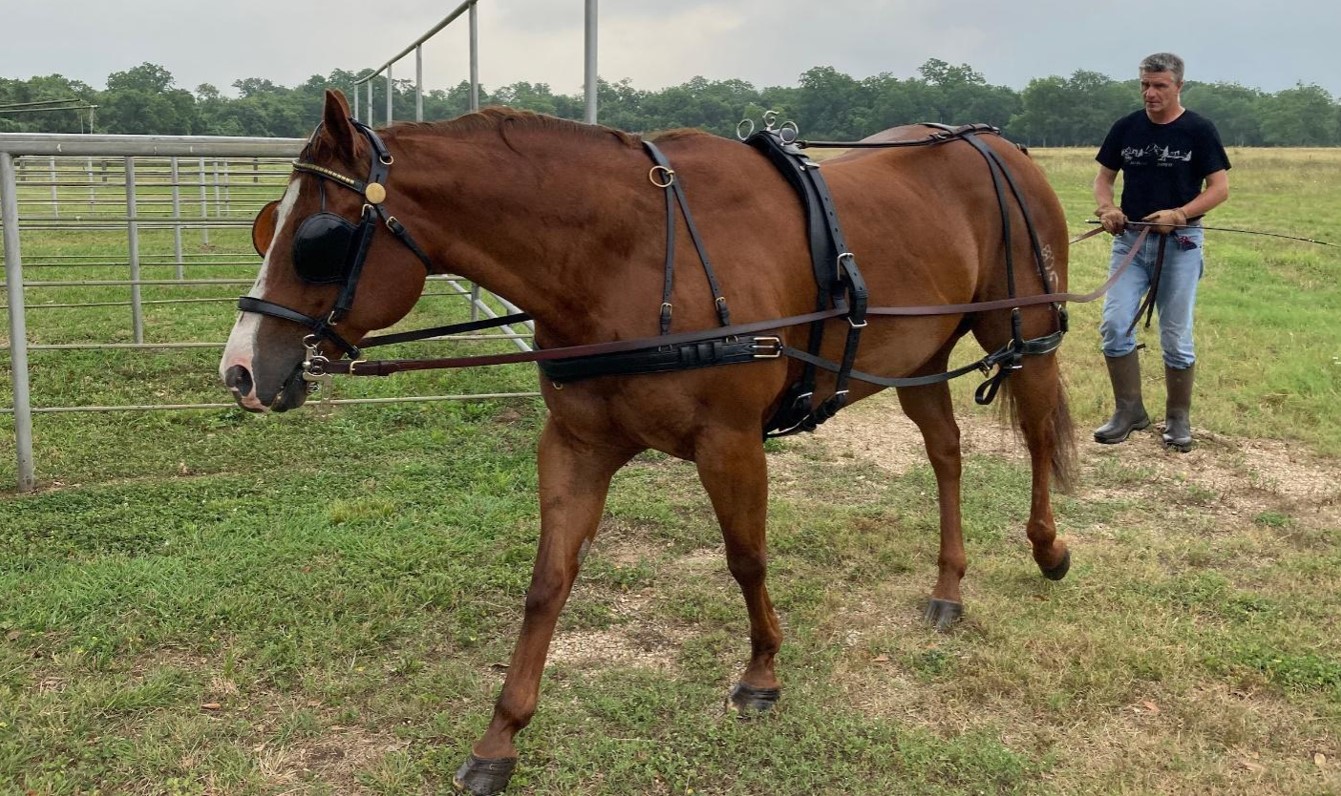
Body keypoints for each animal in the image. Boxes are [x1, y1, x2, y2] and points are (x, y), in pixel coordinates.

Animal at [220, 89, 1076, 795]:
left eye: (318, 239)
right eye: (271, 227)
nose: (241, 370)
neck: (621, 257)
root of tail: (995, 146)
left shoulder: (731, 443)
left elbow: (745, 557)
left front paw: (761, 672)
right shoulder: (575, 446)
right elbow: (547, 581)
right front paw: (501, 737)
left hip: (1023, 333)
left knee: (1036, 438)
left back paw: (1046, 546)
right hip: (918, 357)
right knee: (946, 453)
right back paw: (948, 585)